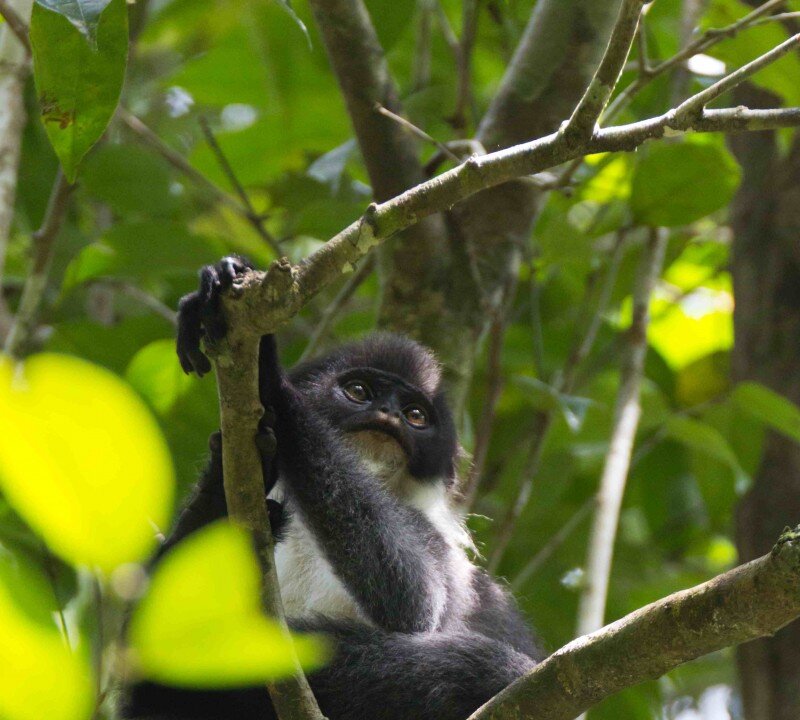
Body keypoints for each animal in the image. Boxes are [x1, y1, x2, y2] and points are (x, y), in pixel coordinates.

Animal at [121, 256, 543, 720]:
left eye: (415, 415)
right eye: (359, 391)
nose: (388, 414)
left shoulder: (430, 537)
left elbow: (417, 604)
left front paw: (267, 371)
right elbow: (152, 622)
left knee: (486, 667)